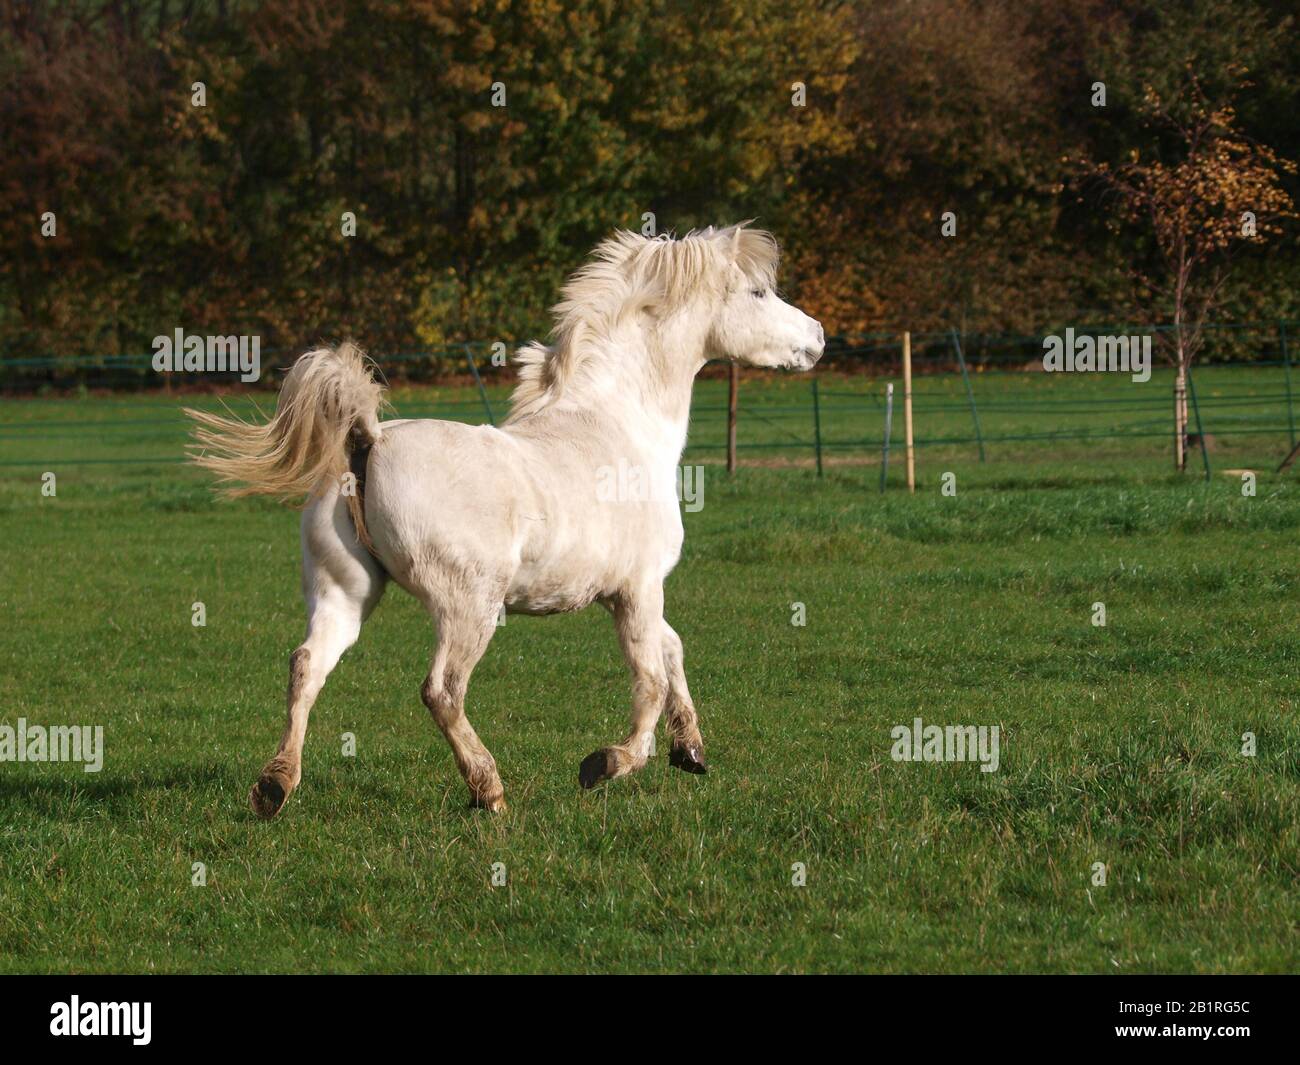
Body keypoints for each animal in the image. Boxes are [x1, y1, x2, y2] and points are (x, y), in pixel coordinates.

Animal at [186, 223, 824, 816]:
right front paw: (608, 764)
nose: (817, 336)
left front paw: (689, 750)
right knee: (441, 691)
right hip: (469, 606)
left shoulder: (629, 593)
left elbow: (672, 652)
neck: (618, 426)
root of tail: (366, 440)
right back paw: (487, 790)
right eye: (759, 292)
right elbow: (650, 679)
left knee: (306, 668)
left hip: (346, 593)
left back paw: (274, 786)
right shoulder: (638, 589)